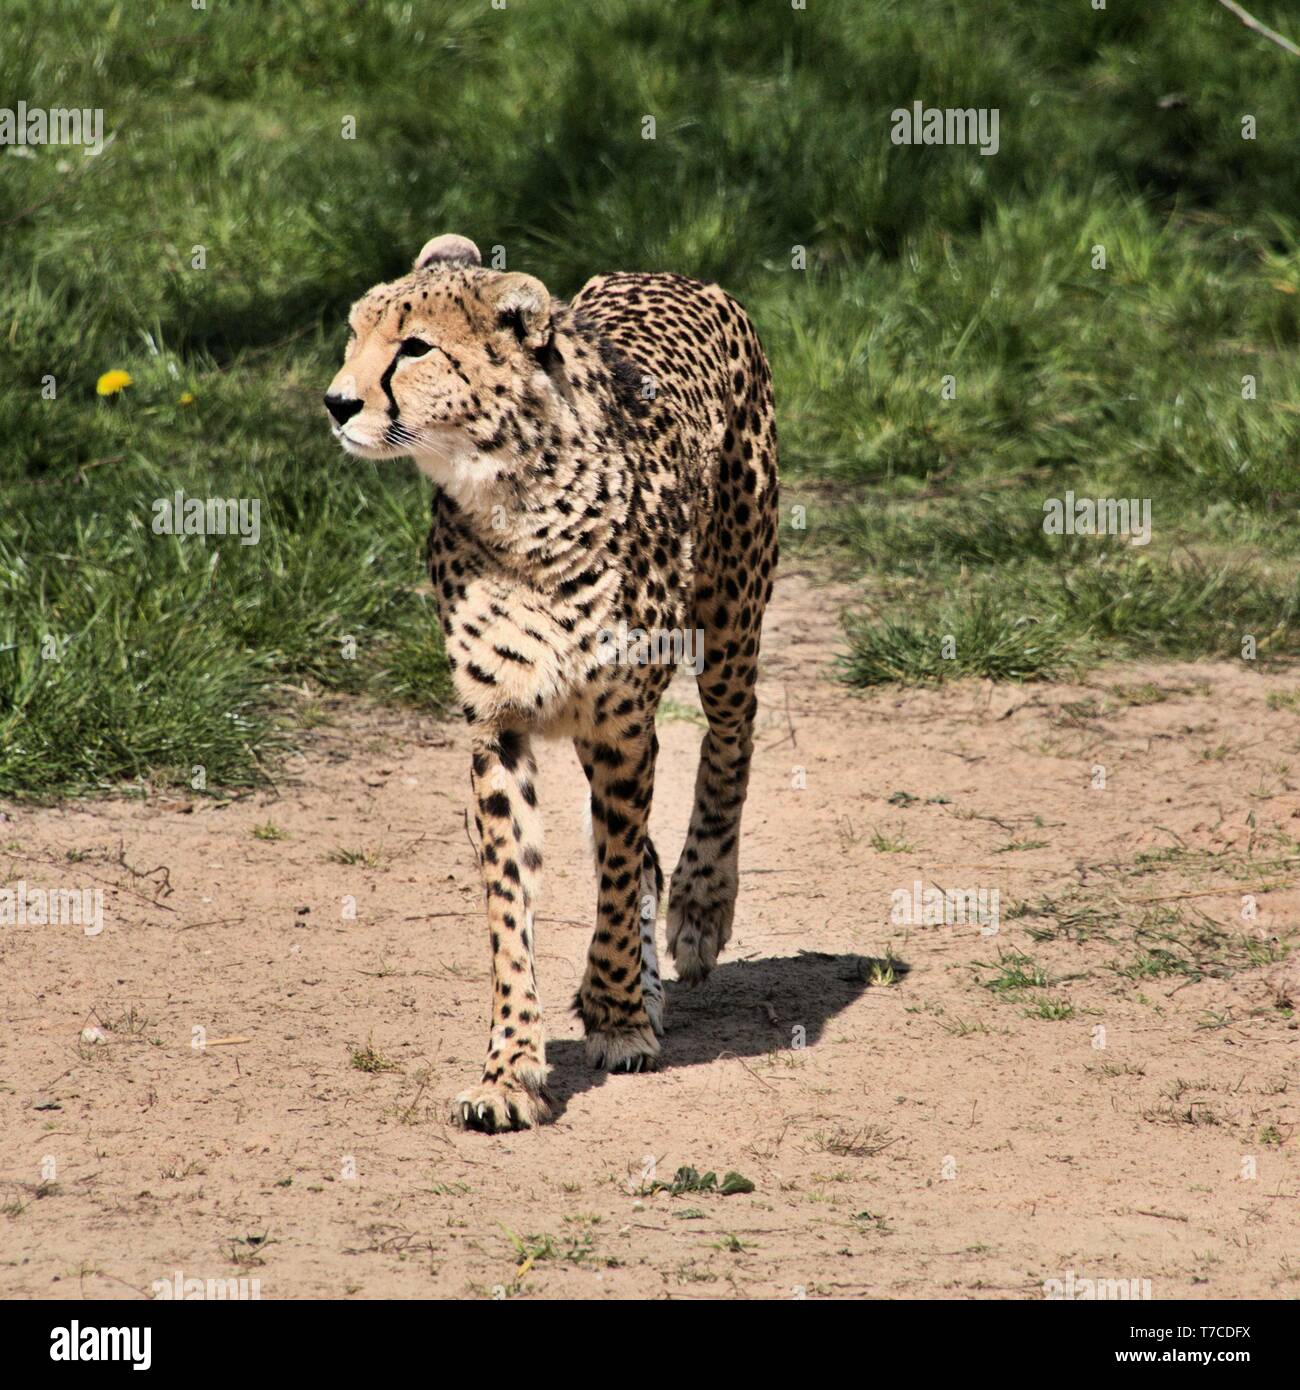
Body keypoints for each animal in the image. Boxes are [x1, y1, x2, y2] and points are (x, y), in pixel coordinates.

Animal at [325, 233, 778, 1132]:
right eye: (355, 333)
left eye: (415, 347)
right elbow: (512, 905)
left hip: (731, 614)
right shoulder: (497, 726)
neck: (509, 497)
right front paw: (511, 1069)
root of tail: (668, 271)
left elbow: (614, 876)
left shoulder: (620, 727)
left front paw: (617, 1015)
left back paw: (701, 908)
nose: (336, 402)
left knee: (731, 738)